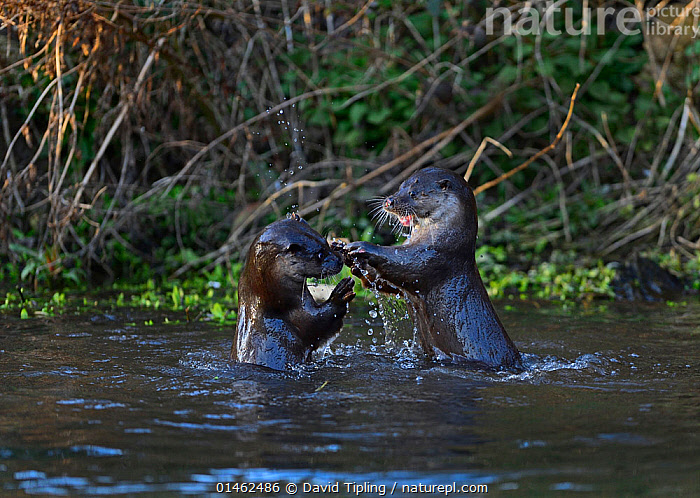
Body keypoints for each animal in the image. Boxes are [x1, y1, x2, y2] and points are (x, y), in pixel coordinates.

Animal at [231, 213, 355, 370]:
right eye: (319, 255)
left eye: (324, 242)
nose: (340, 260)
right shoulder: (292, 311)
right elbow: (317, 324)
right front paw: (341, 293)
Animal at [336, 167, 521, 369]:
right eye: (400, 187)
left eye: (413, 193)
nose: (389, 201)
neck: (447, 239)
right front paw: (352, 260)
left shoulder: (433, 257)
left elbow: (402, 262)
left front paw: (361, 246)